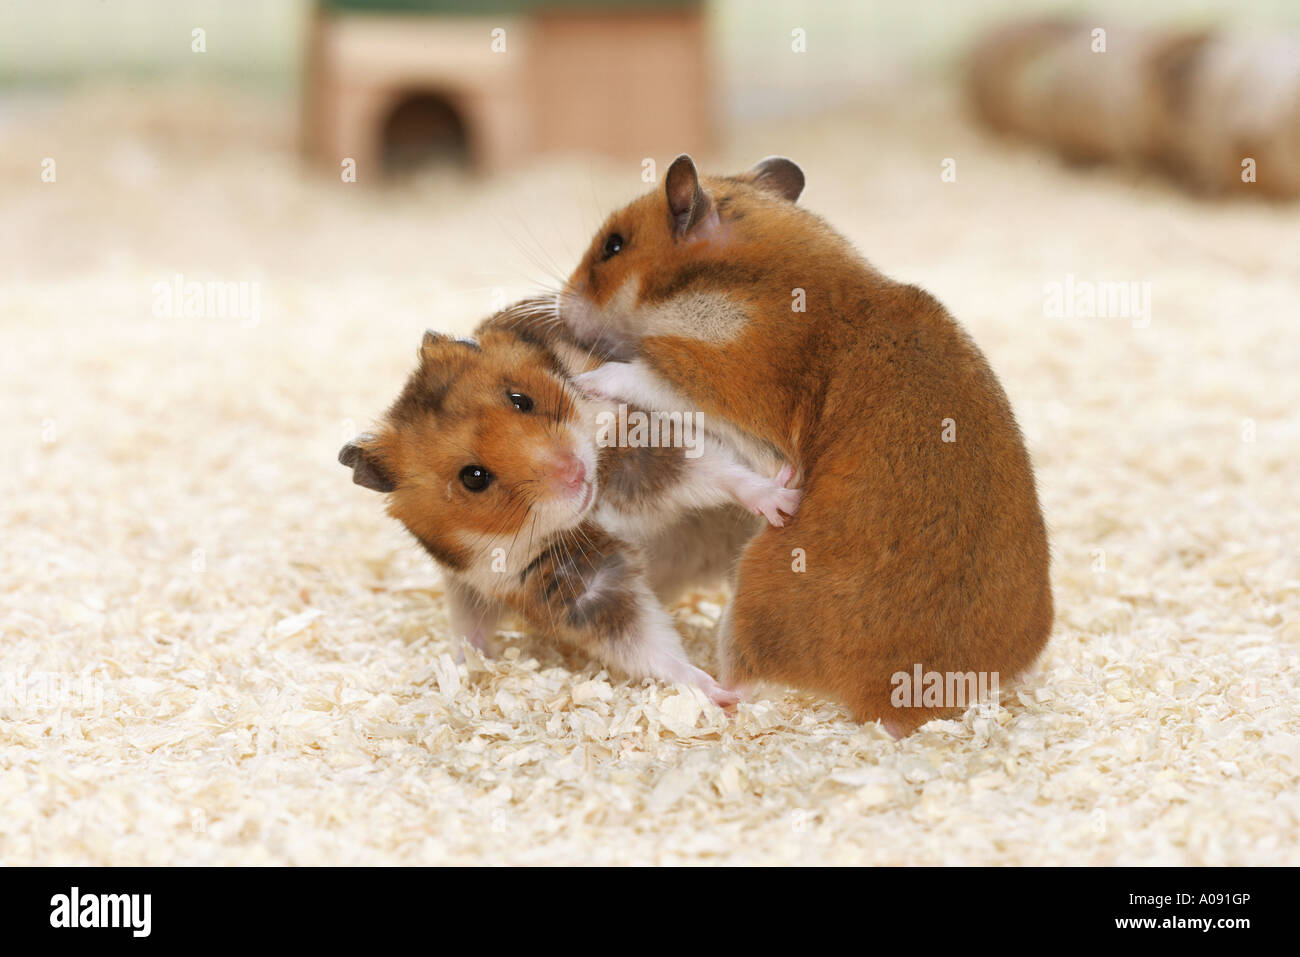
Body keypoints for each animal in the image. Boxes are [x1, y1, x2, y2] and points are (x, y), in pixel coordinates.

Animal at [338, 302, 798, 707]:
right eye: (473, 478)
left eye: (520, 399)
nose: (574, 471)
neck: (593, 508)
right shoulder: (580, 592)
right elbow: (648, 646)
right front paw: (722, 693)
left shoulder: (649, 447)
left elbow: (719, 473)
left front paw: (785, 501)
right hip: (463, 591)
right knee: (470, 628)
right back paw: (462, 669)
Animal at [555, 155, 1053, 736]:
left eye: (613, 246)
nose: (560, 308)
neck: (734, 279)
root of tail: (895, 706)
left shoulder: (718, 379)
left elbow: (641, 377)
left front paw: (587, 379)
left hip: (754, 591)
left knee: (740, 683)